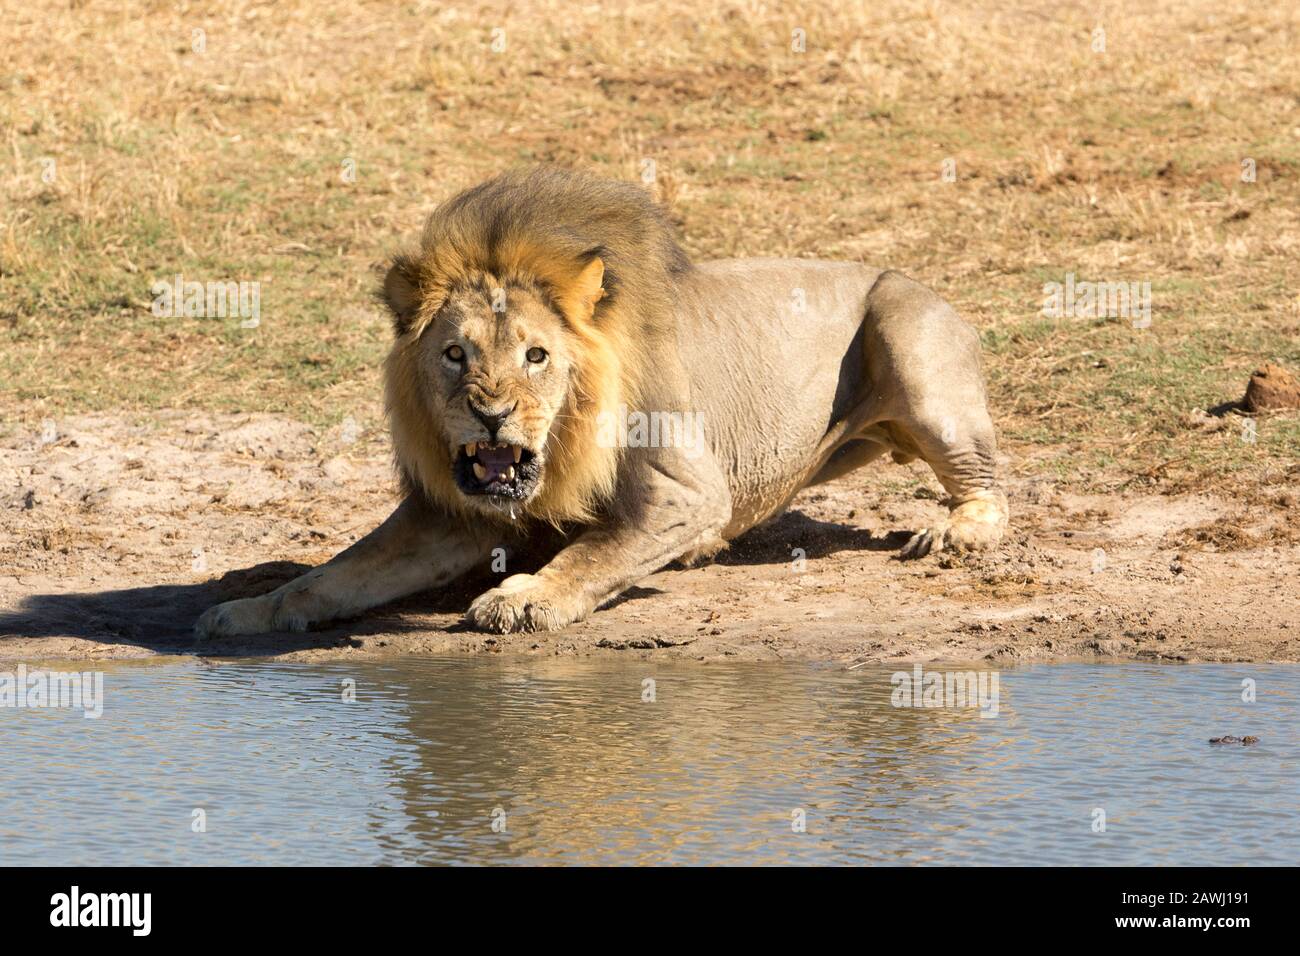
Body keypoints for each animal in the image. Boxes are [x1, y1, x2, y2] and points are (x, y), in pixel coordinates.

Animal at [196, 166, 1008, 638]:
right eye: (456, 354)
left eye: (536, 355)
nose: (490, 415)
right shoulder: (449, 516)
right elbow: (333, 574)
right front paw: (246, 611)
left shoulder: (686, 489)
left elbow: (596, 552)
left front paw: (524, 597)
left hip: (907, 330)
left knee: (991, 487)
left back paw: (953, 531)